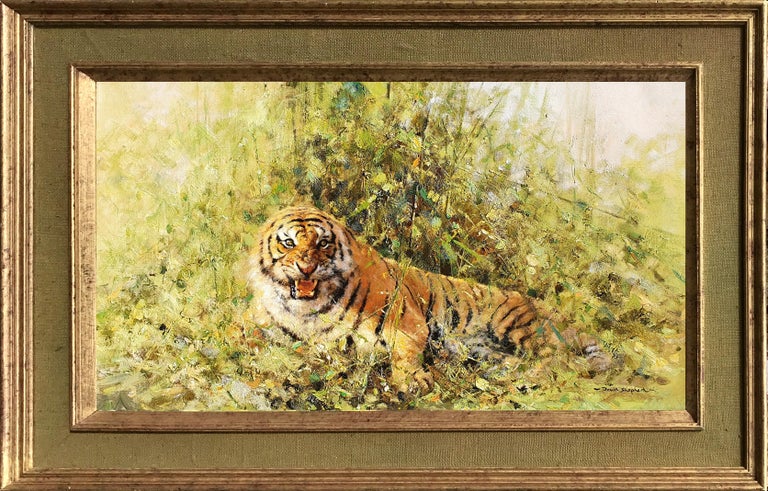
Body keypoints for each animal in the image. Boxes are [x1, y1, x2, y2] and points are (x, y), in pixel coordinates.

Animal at [247, 205, 604, 399]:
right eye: (288, 243)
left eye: (323, 244)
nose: (306, 267)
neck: (307, 309)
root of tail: (545, 307)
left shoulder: (408, 322)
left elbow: (405, 354)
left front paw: (413, 381)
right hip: (488, 348)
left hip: (515, 325)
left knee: (557, 359)